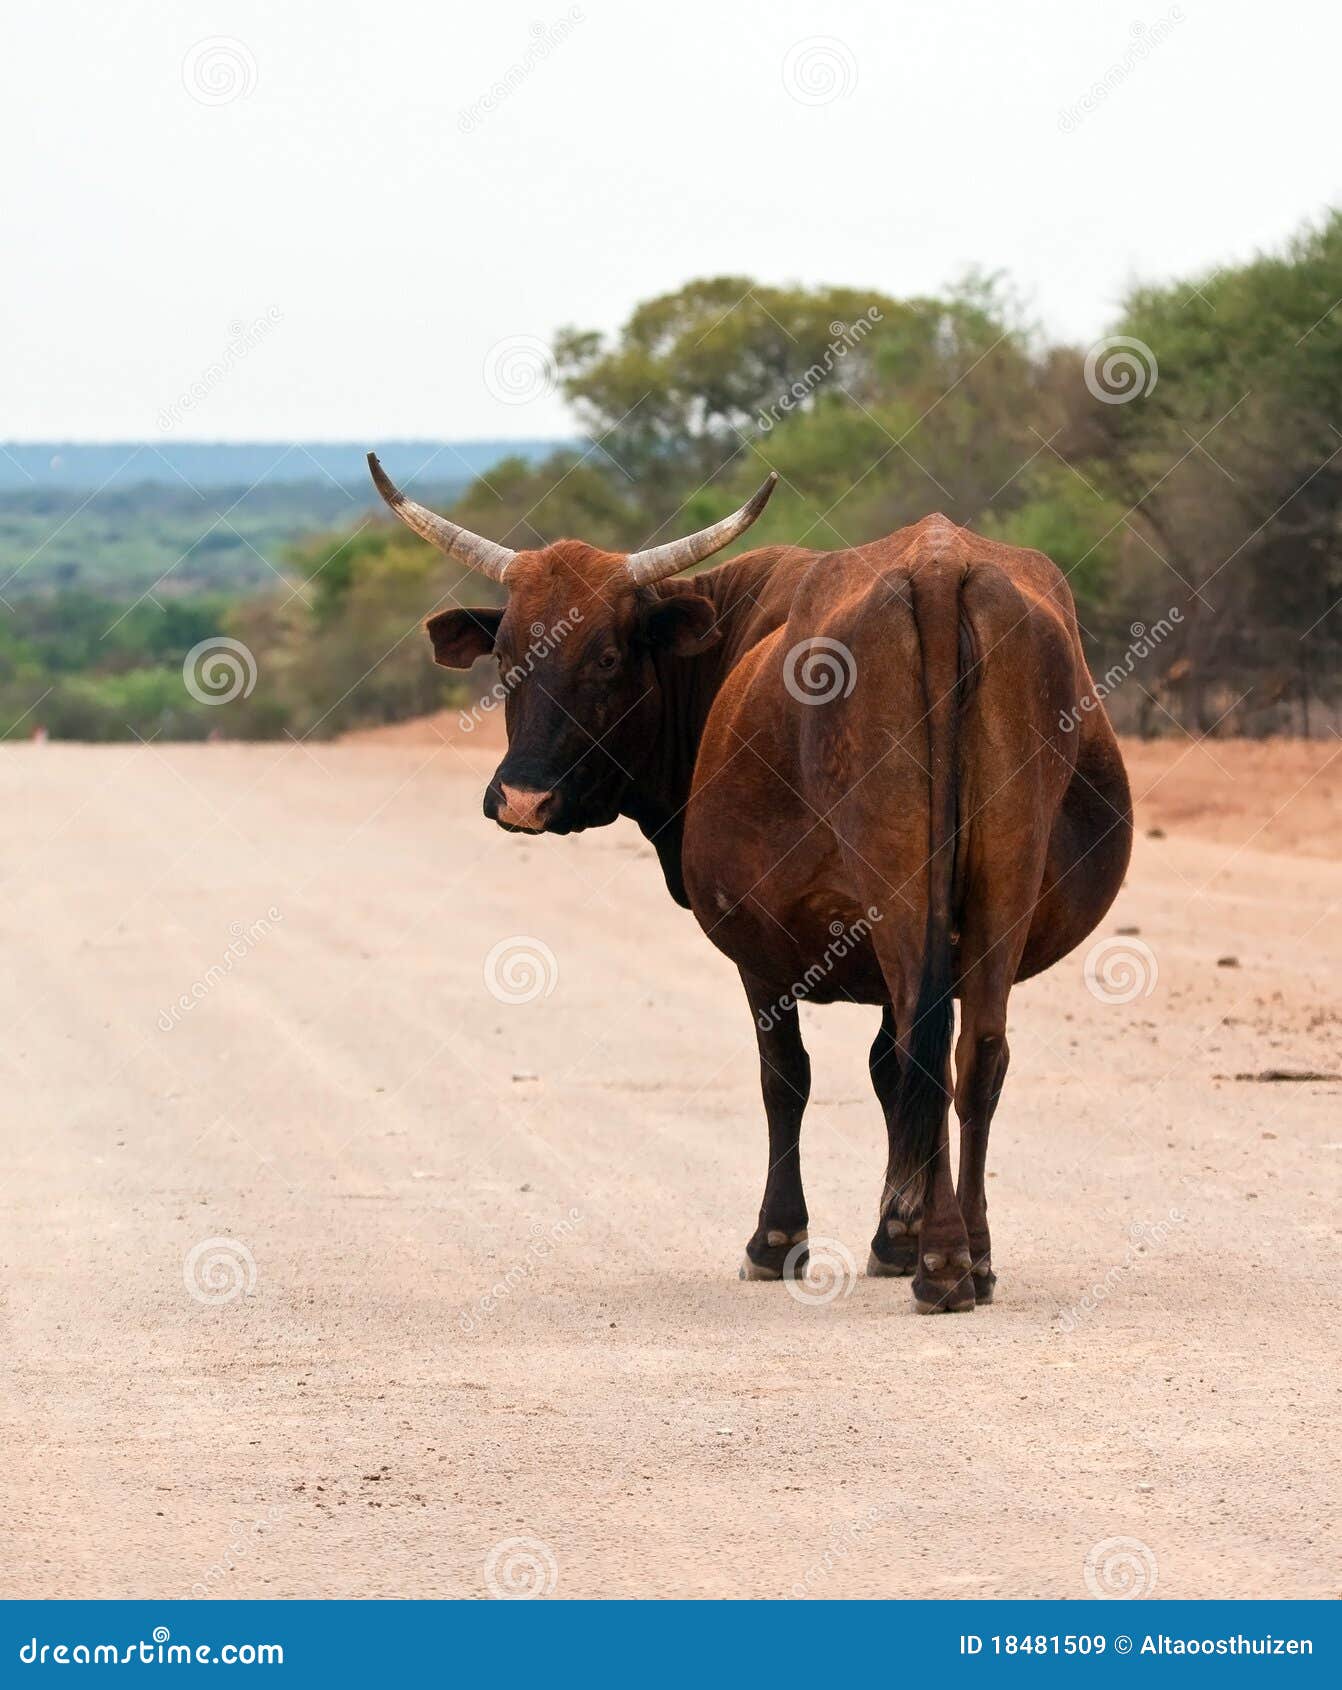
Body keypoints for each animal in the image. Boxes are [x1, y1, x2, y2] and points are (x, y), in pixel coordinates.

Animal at [368, 453, 1132, 1312]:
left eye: (607, 656)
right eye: (506, 658)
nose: (522, 798)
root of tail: (938, 564)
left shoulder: (762, 953)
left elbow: (787, 1078)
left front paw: (779, 1239)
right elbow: (885, 1069)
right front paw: (894, 1232)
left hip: (903, 899)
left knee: (925, 1050)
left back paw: (943, 1266)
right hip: (1000, 885)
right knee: (975, 1052)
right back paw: (975, 1255)